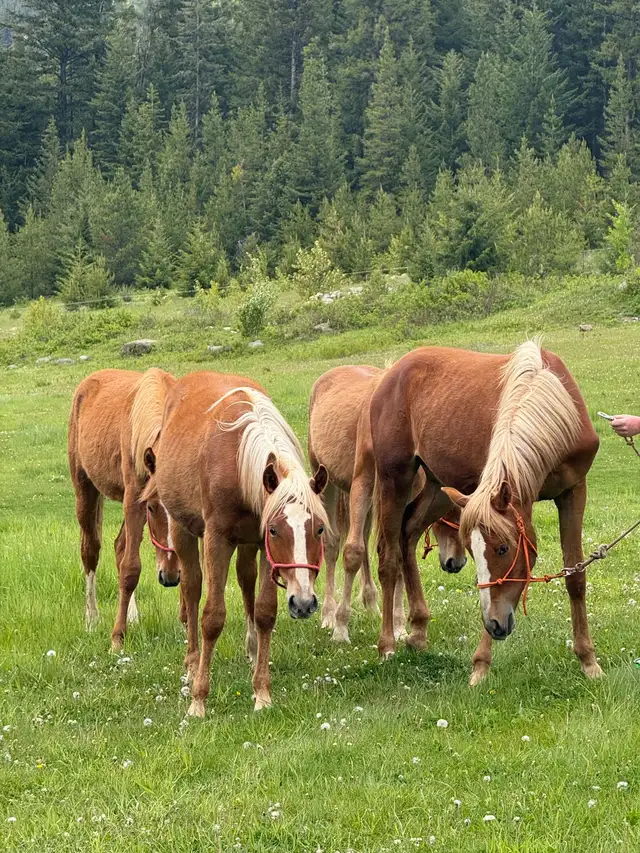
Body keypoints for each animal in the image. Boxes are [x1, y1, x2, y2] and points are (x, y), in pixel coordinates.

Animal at [68, 368, 180, 649]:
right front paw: (117, 638)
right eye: (152, 508)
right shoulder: (135, 499)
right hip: (85, 490)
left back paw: (133, 616)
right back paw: (92, 620)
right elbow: (131, 569)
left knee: (119, 546)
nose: (169, 577)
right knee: (90, 551)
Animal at [141, 371, 329, 717]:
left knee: (245, 579)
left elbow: (265, 611)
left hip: (246, 545)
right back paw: (192, 663)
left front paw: (262, 692)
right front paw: (199, 699)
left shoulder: (264, 550)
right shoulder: (218, 539)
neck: (237, 459)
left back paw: (253, 651)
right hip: (184, 531)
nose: (304, 603)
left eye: (319, 529)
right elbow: (212, 617)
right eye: (275, 530)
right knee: (192, 588)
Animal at [308, 364, 465, 644]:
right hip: (326, 483)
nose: (456, 563)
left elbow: (398, 556)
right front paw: (341, 627)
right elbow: (353, 552)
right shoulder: (362, 485)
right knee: (333, 544)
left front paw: (400, 626)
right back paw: (328, 614)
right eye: (451, 513)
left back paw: (371, 603)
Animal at [369, 341, 601, 686]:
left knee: (407, 535)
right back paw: (387, 644)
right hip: (394, 478)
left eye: (504, 548)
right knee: (388, 557)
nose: (495, 624)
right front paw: (480, 665)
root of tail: (392, 373)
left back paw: (419, 630)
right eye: (473, 550)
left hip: (438, 487)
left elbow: (576, 575)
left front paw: (588, 659)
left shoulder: (574, 491)